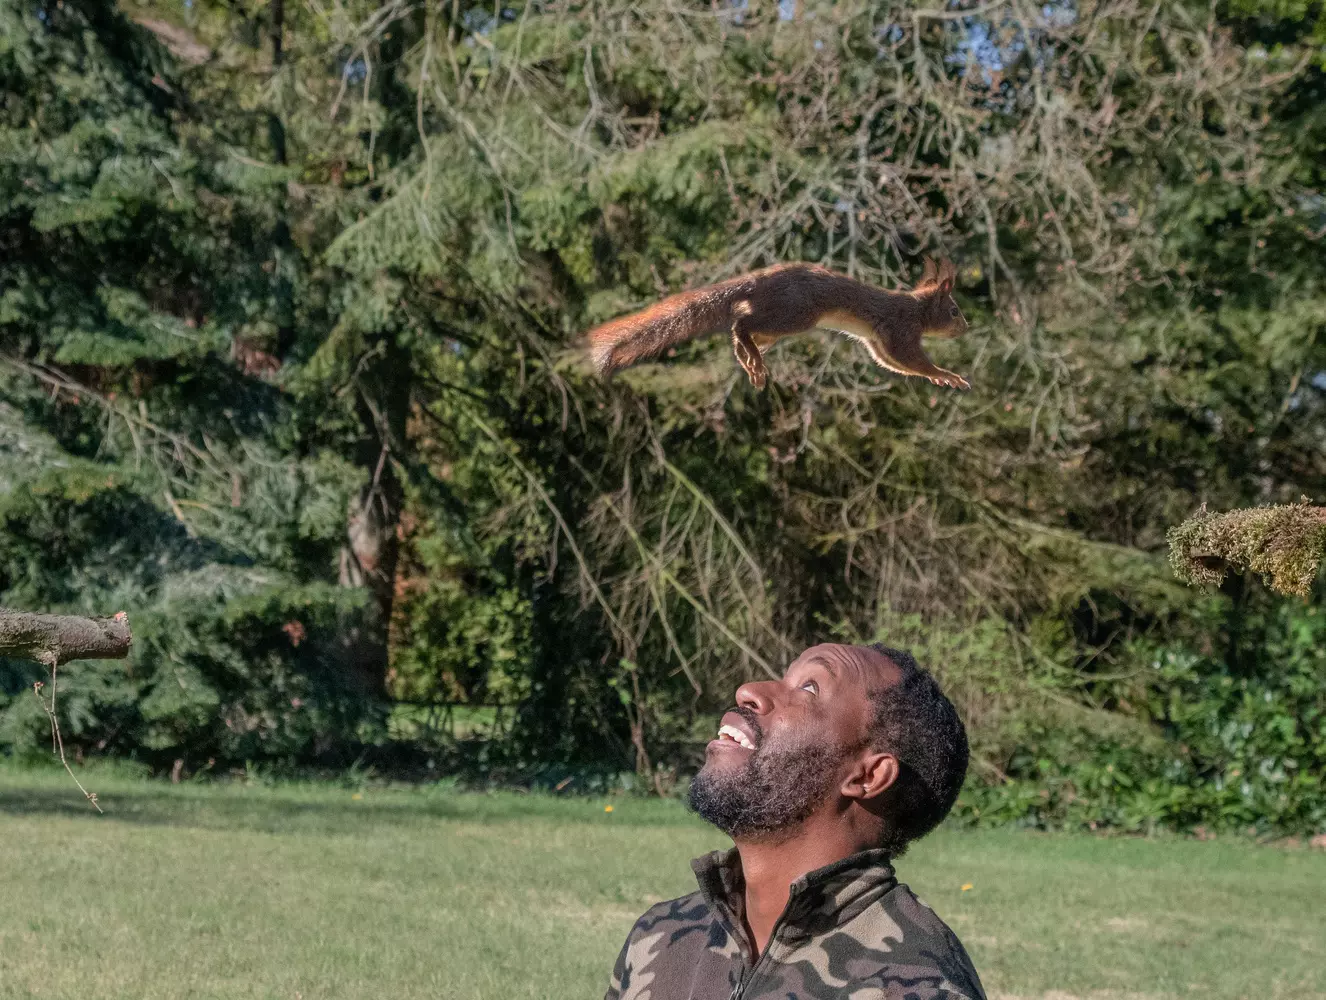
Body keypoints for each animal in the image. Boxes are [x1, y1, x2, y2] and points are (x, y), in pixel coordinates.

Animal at [586, 257, 970, 389]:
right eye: (953, 311)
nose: (965, 327)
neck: (917, 309)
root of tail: (760, 280)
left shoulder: (878, 341)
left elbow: (892, 363)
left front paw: (940, 377)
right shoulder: (901, 329)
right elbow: (910, 359)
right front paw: (947, 375)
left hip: (779, 321)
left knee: (744, 328)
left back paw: (749, 358)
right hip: (796, 314)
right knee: (741, 321)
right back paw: (751, 357)